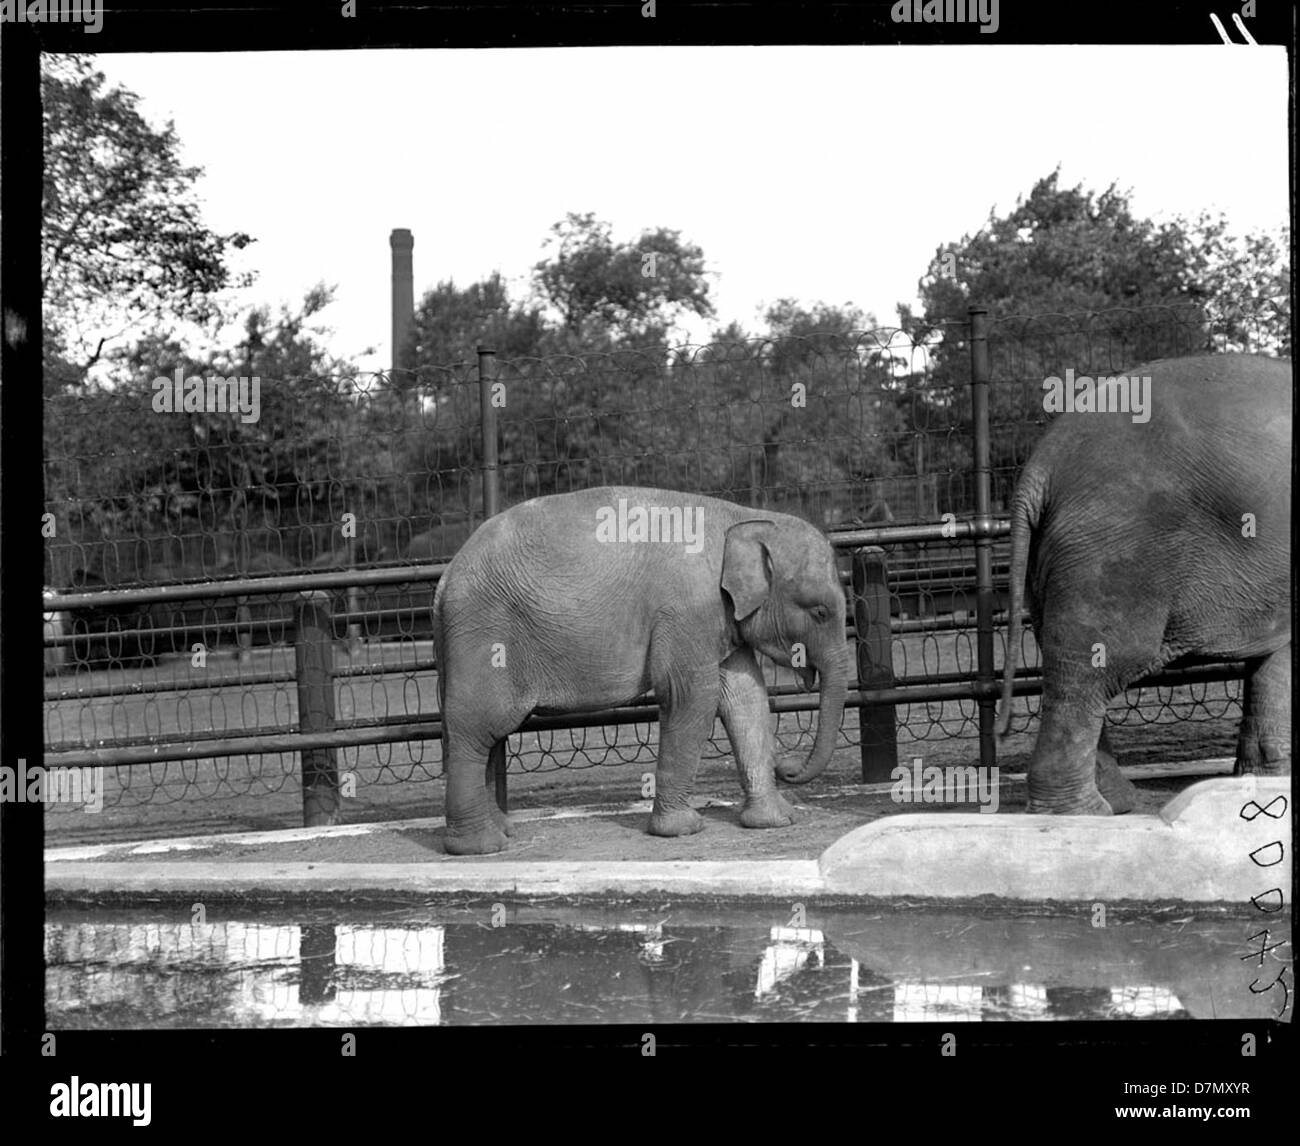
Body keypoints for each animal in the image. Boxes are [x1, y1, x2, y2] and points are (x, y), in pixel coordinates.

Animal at [432, 486, 850, 854]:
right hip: (485, 634)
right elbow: (692, 696)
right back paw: (481, 847)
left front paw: (777, 821)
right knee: (478, 728)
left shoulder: (721, 614)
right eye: (820, 612)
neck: (742, 517)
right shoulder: (687, 609)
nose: (788, 766)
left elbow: (746, 697)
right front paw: (682, 829)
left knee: (483, 734)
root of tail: (445, 578)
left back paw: (502, 830)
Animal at [997, 353, 1291, 814]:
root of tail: (1043, 463)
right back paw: (1085, 813)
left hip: (1053, 564)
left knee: (1068, 662)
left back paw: (1115, 804)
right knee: (1094, 666)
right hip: (1115, 550)